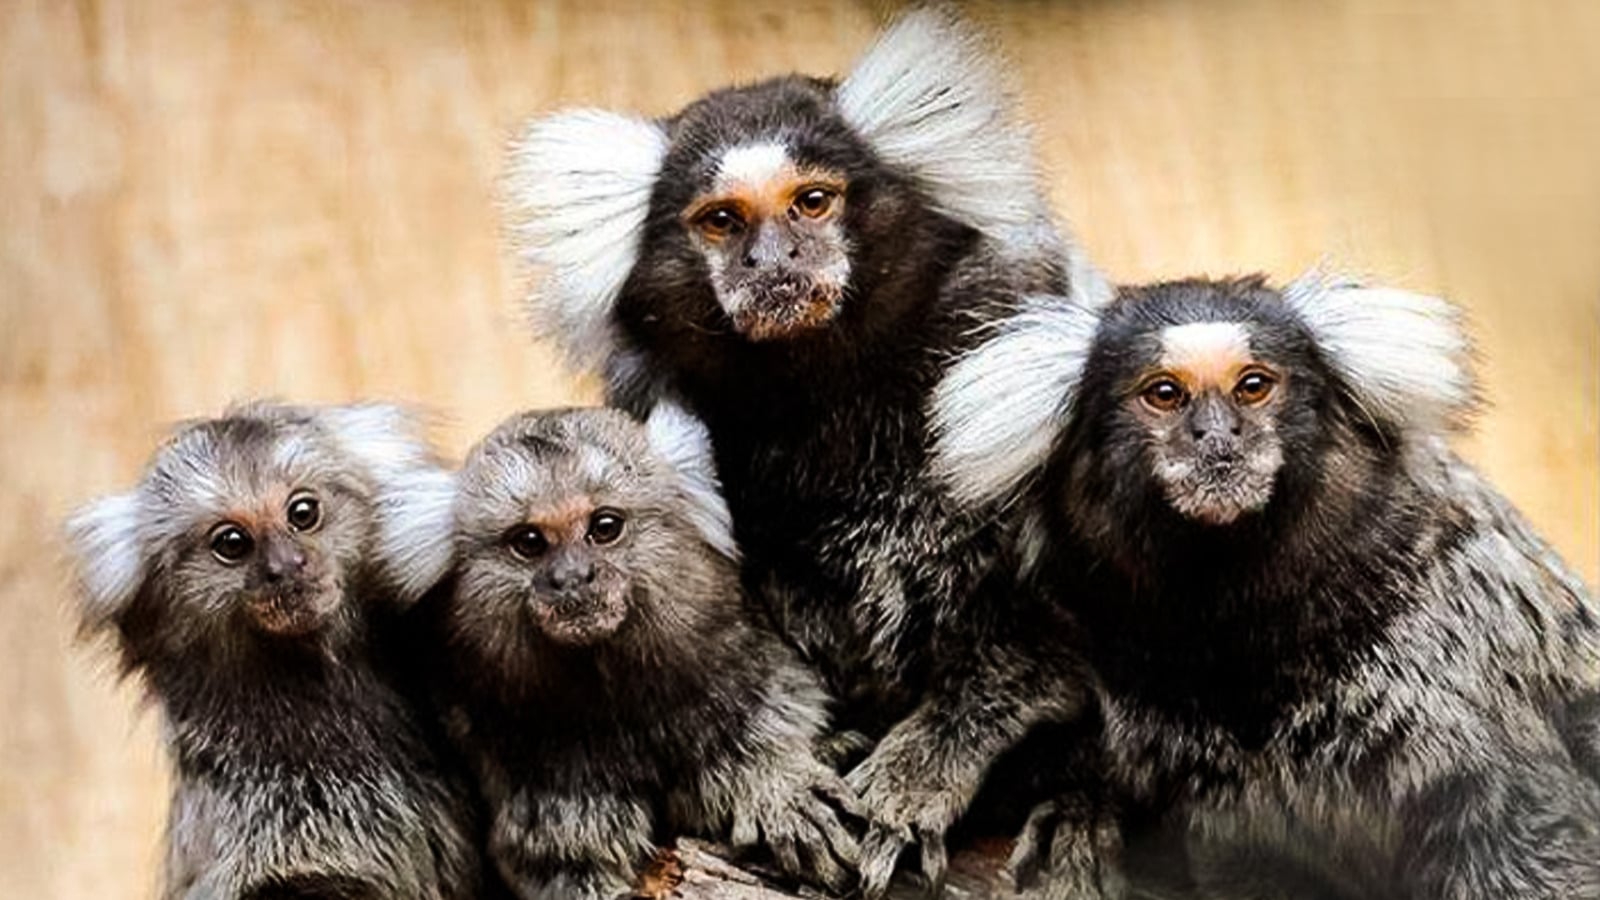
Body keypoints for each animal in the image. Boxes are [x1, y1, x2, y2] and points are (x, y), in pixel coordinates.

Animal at [376, 404, 861, 900]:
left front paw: (779, 788)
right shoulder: (529, 757)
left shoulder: (736, 671)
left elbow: (766, 725)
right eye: (529, 542)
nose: (572, 578)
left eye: (604, 528)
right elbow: (561, 858)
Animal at [504, 9, 1110, 893]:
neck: (833, 389)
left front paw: (915, 778)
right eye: (722, 220)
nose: (772, 262)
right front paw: (775, 778)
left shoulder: (1008, 330)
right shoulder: (655, 414)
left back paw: (1081, 813)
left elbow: (1039, 634)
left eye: (811, 203)